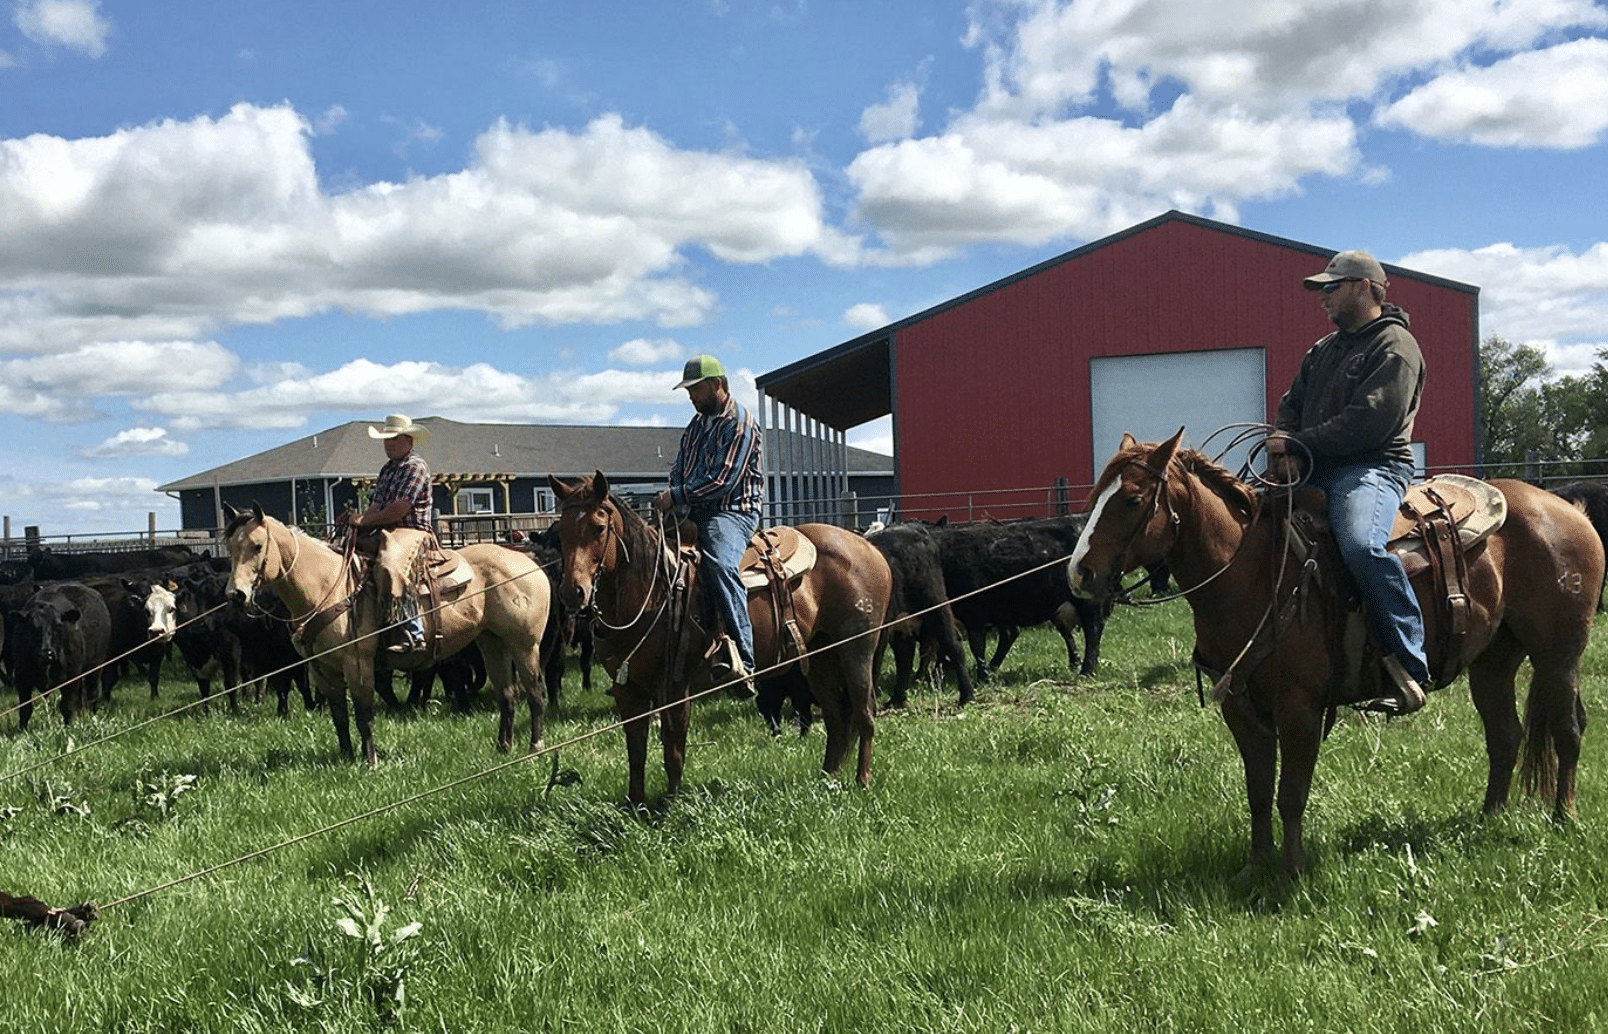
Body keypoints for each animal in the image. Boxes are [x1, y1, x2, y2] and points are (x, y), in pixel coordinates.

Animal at [224, 503, 551, 764]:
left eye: (257, 546)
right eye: (230, 548)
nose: (236, 595)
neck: (327, 586)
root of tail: (531, 563)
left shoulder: (357, 663)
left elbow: (363, 714)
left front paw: (370, 761)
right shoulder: (322, 668)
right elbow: (339, 716)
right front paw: (345, 757)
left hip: (525, 645)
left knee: (535, 691)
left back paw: (535, 745)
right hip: (492, 642)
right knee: (507, 693)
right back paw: (503, 747)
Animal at [548, 472, 893, 806]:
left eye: (598, 527)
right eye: (561, 532)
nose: (572, 592)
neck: (655, 590)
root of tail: (869, 548)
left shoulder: (674, 687)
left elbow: (673, 750)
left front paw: (671, 806)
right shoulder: (628, 689)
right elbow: (636, 751)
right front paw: (636, 806)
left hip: (857, 649)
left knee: (864, 711)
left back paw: (862, 780)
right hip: (822, 656)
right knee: (836, 718)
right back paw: (826, 780)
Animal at [1068, 431, 1604, 878]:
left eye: (1132, 500)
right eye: (1095, 500)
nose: (1079, 574)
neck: (1255, 574)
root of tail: (1568, 509)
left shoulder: (1299, 708)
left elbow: (1291, 794)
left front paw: (1289, 874)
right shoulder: (1240, 707)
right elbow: (1258, 790)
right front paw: (1255, 868)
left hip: (1559, 654)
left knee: (1567, 728)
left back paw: (1563, 817)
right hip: (1493, 660)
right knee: (1505, 735)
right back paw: (1489, 817)